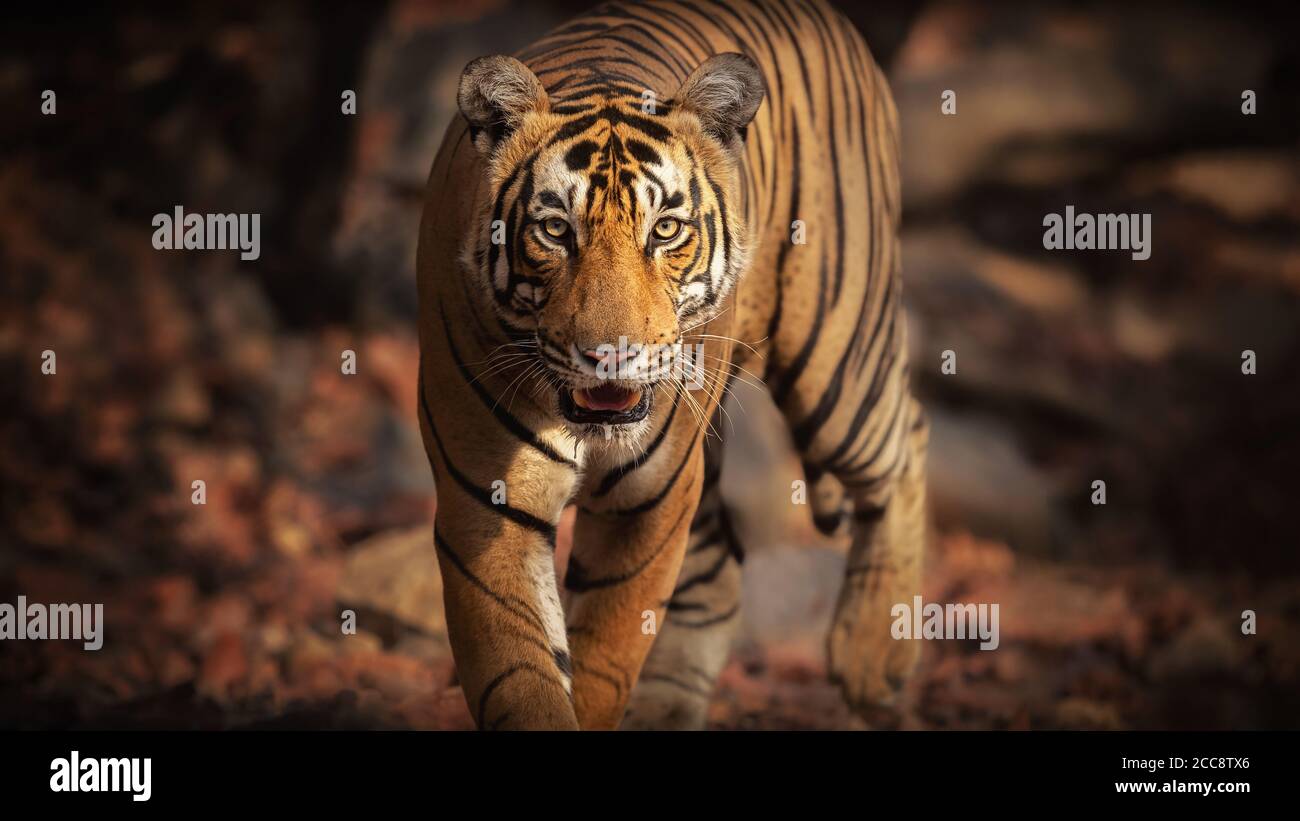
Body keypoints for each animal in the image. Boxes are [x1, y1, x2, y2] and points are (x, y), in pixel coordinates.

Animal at [416, 0, 928, 730]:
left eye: (665, 229)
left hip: (837, 353)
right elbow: (522, 675)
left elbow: (605, 658)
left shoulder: (649, 505)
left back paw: (870, 656)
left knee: (903, 443)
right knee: (722, 567)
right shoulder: (486, 506)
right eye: (555, 230)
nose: (611, 354)